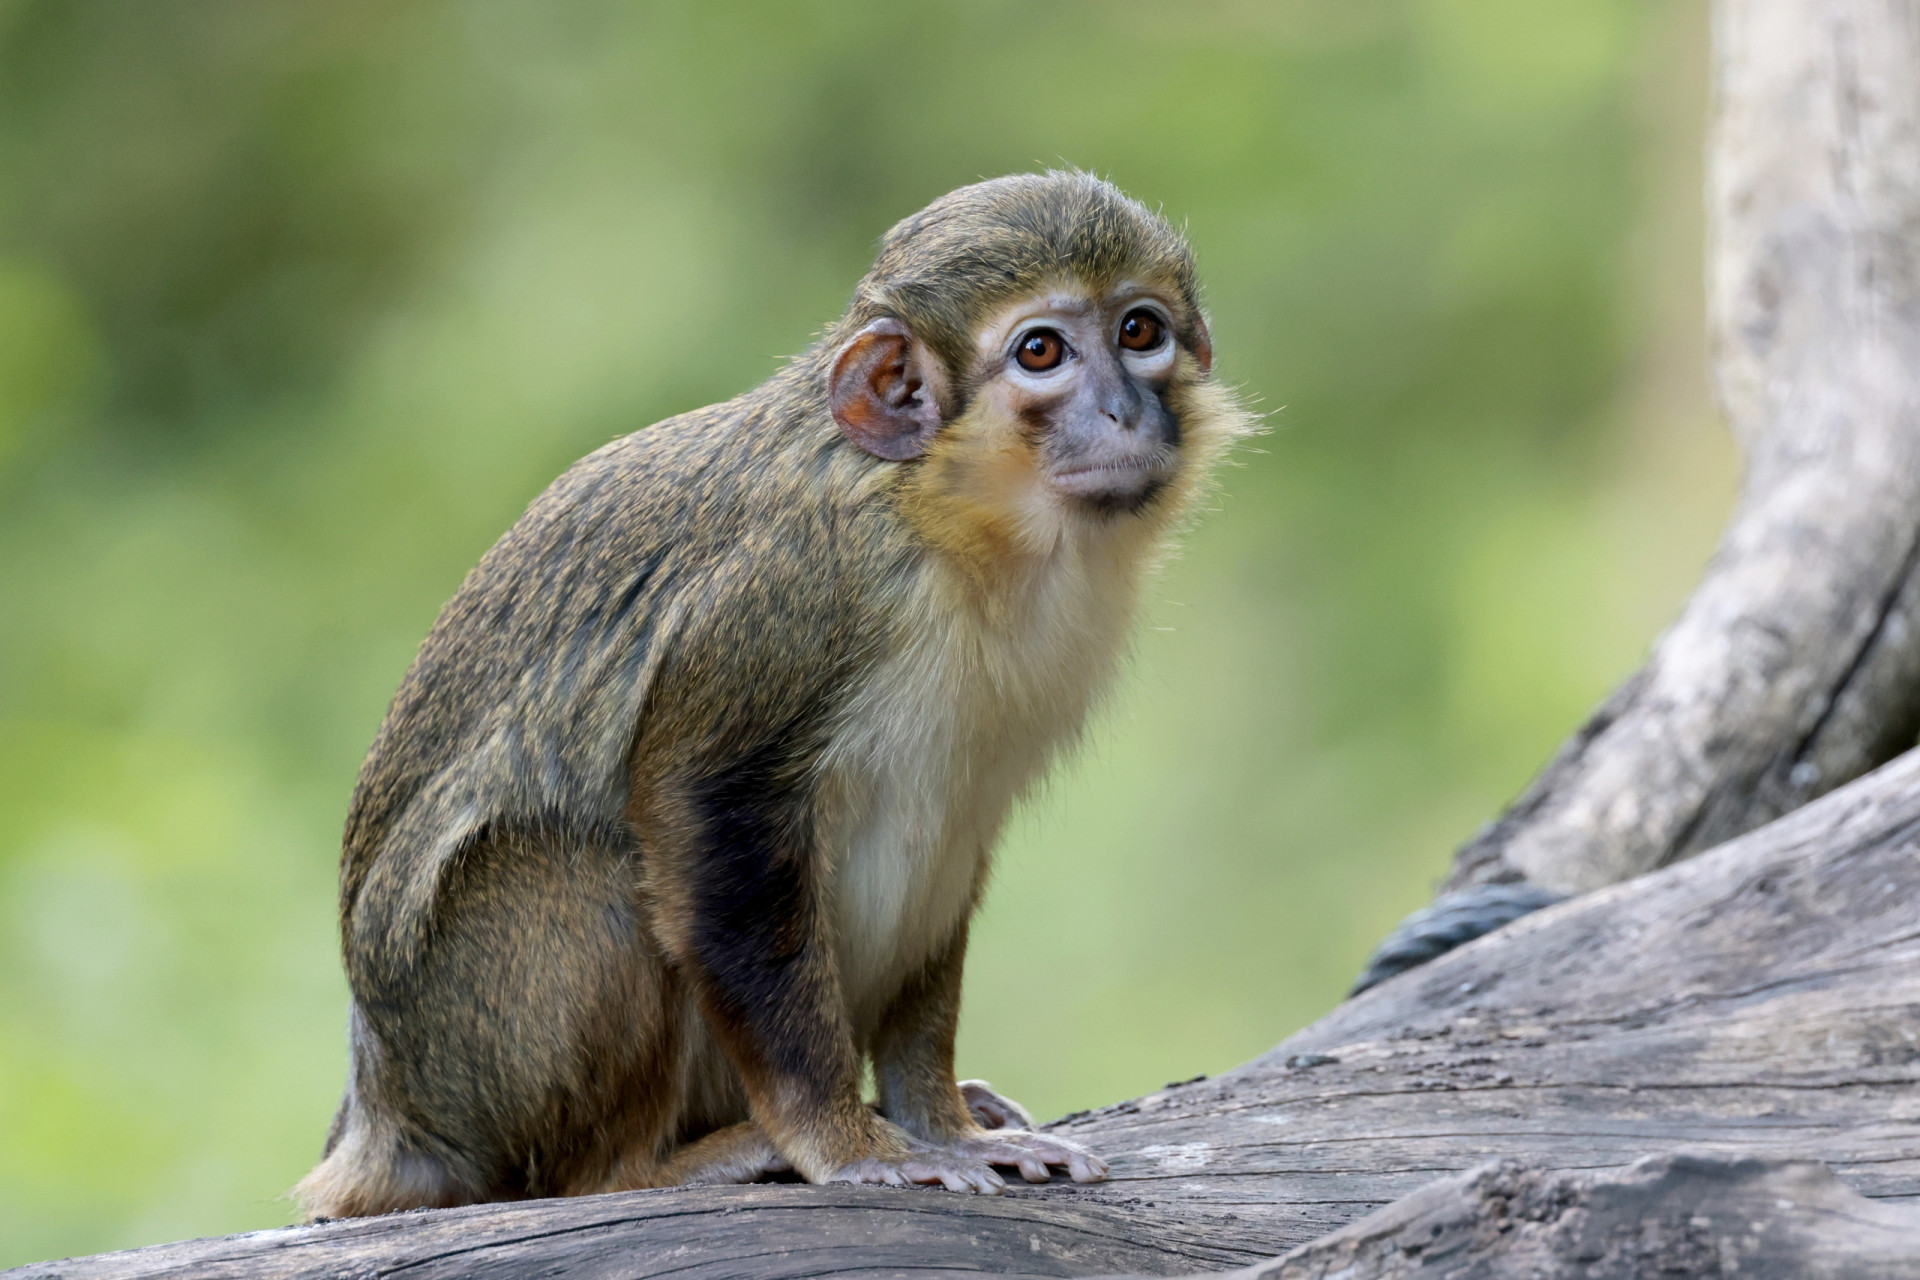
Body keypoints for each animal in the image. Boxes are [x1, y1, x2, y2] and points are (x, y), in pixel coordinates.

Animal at [297, 171, 1252, 1217]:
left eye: (1139, 330)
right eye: (1041, 351)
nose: (1126, 412)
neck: (942, 511)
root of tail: (386, 1119)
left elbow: (951, 849)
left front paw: (939, 1121)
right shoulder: (793, 593)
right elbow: (705, 811)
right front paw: (843, 1138)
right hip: (473, 1054)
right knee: (581, 869)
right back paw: (643, 1165)